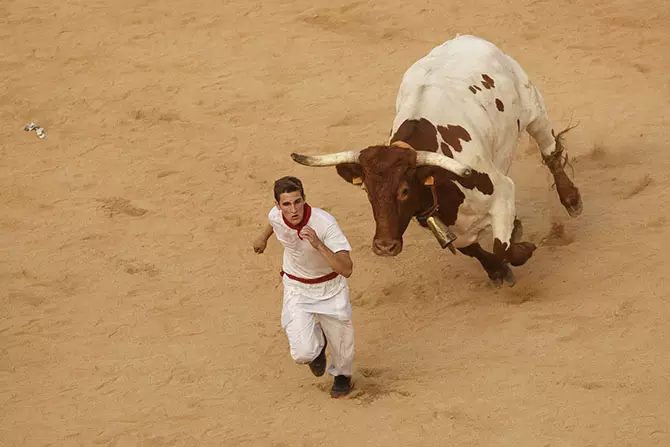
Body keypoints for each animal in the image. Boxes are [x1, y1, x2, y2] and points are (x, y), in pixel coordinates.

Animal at [292, 36, 584, 288]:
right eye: (367, 191)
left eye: (404, 190)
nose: (384, 247)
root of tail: (465, 38)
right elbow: (473, 248)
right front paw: (498, 268)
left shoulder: (502, 191)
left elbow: (503, 247)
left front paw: (522, 247)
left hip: (533, 108)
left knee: (550, 151)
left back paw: (571, 199)